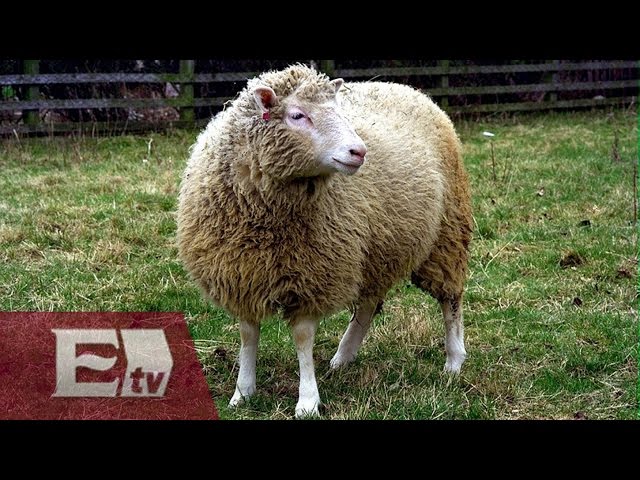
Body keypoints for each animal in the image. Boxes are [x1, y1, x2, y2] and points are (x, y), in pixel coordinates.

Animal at [176, 64, 472, 418]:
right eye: (297, 115)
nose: (359, 152)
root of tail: (402, 86)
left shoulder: (313, 274)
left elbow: (303, 338)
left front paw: (307, 400)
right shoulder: (242, 274)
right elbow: (248, 335)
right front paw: (242, 393)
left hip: (447, 231)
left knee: (450, 299)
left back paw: (454, 361)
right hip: (376, 249)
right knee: (368, 304)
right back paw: (343, 357)